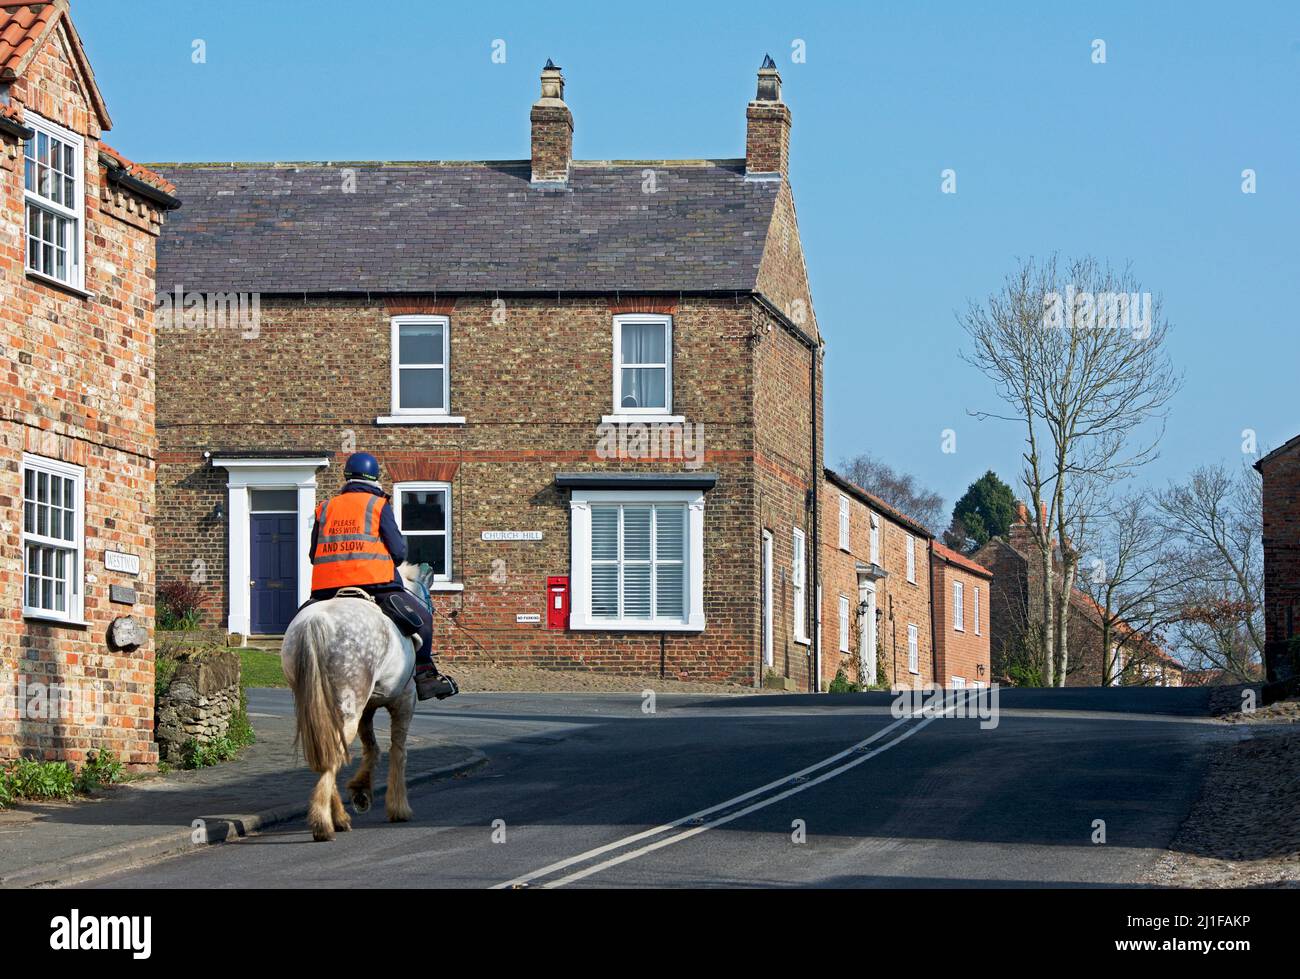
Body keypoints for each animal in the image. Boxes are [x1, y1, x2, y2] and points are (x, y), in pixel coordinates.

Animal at [280, 563, 425, 841]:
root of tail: (317, 621)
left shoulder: (366, 709)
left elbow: (372, 747)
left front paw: (361, 789)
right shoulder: (405, 700)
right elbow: (398, 751)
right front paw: (398, 807)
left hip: (323, 706)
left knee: (329, 752)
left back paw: (336, 817)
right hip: (349, 707)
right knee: (334, 755)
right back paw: (323, 823)